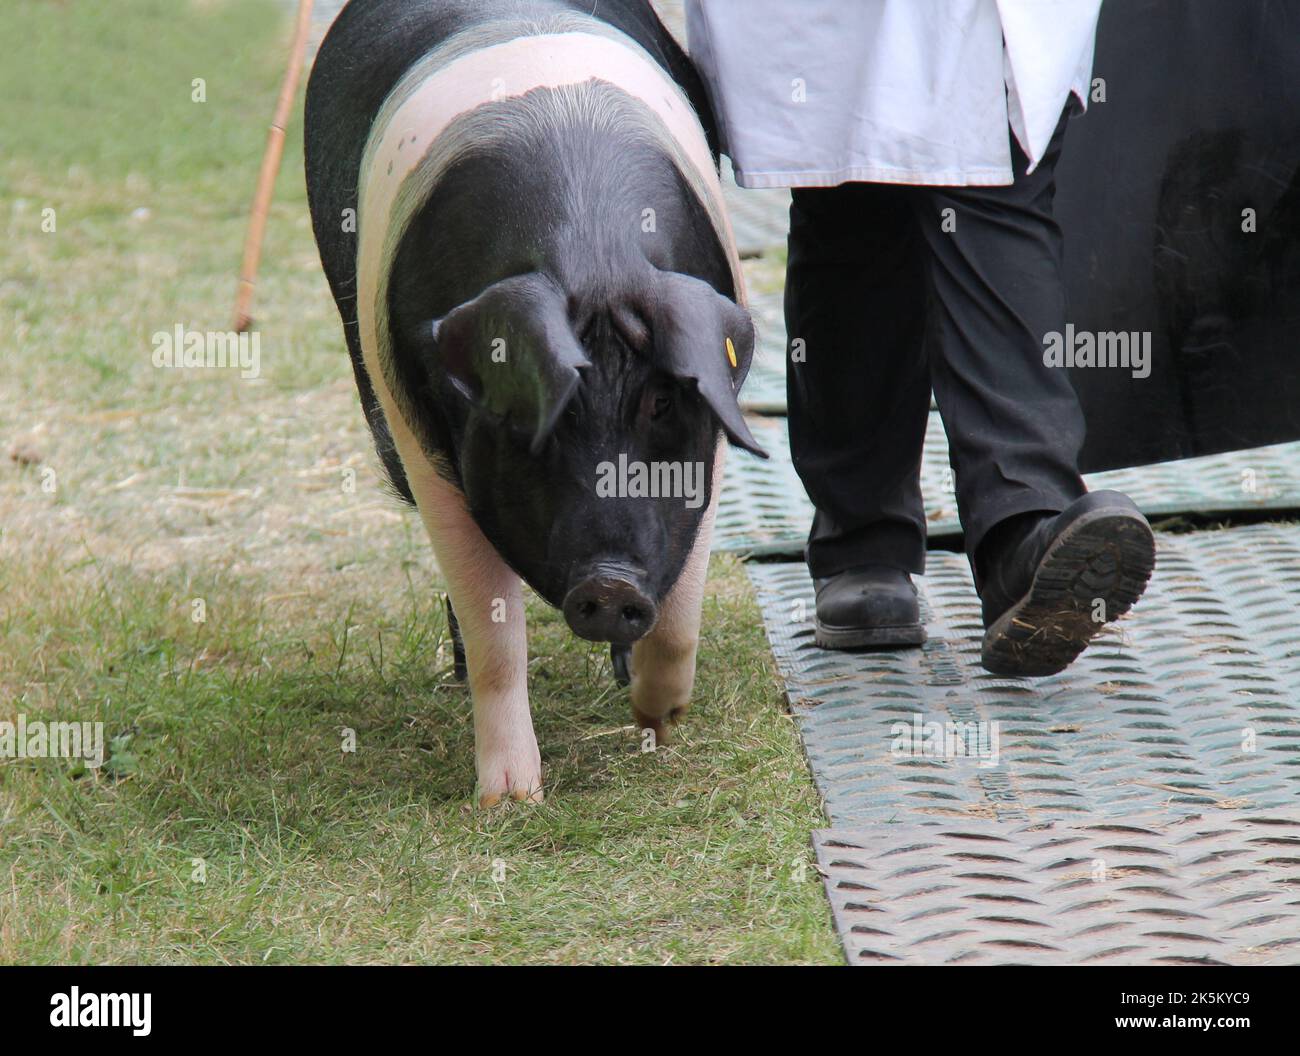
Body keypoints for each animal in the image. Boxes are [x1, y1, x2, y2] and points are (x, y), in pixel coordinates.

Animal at [304, 0, 765, 805]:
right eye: (547, 415)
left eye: (660, 403)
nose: (610, 585)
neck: (593, 256)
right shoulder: (424, 444)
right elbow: (495, 629)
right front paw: (508, 802)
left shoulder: (707, 438)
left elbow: (682, 606)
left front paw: (657, 723)